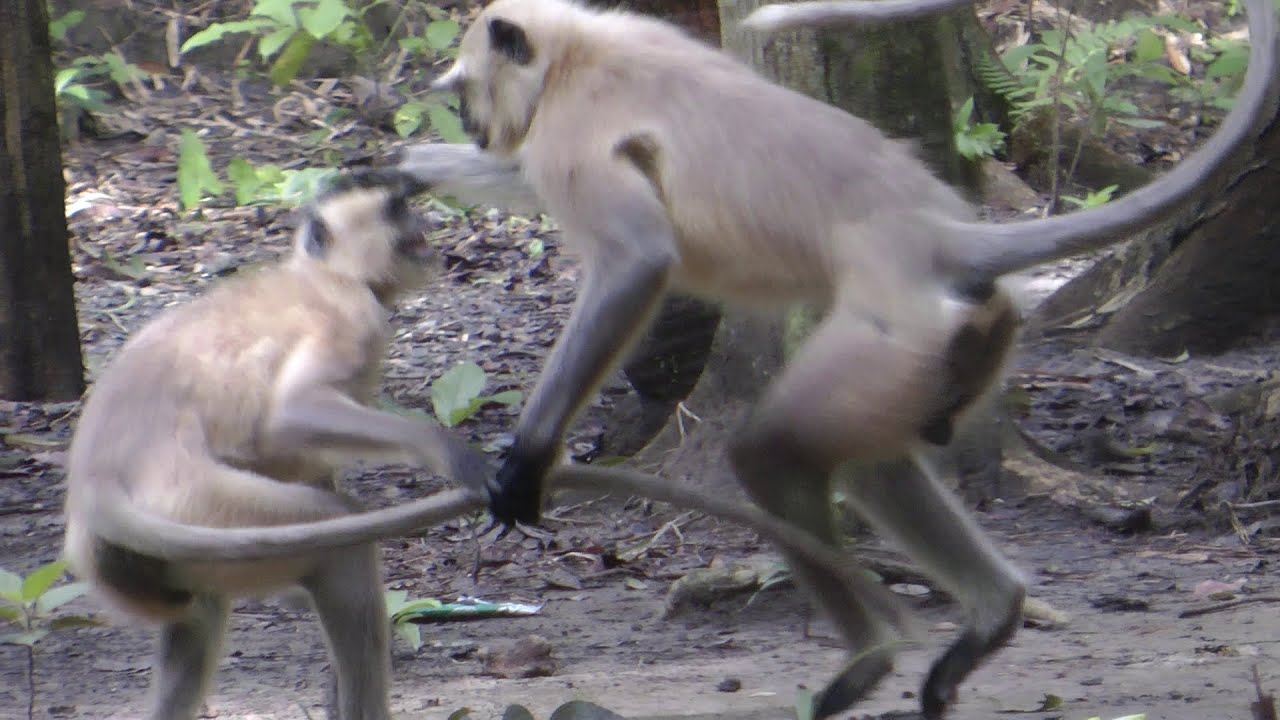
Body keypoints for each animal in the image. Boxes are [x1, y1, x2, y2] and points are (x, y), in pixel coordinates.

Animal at [388, 0, 1278, 717]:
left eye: (466, 91)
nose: (472, 125)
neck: (578, 54)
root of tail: (939, 236)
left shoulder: (571, 132)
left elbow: (639, 260)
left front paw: (527, 460)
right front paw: (398, 170)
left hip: (889, 337)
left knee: (771, 451)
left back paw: (872, 657)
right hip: (948, 353)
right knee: (873, 463)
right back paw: (991, 614)